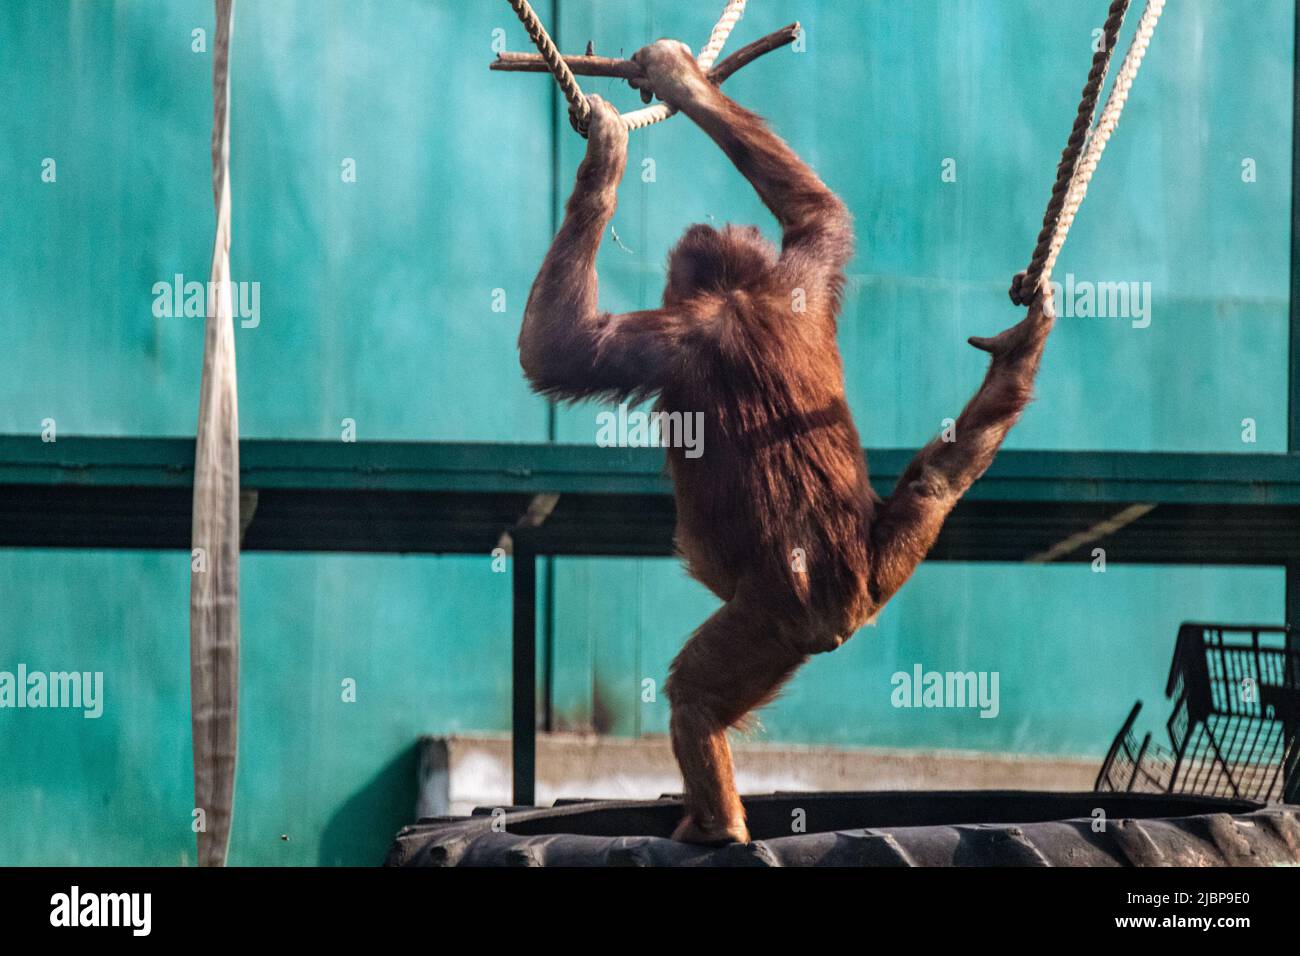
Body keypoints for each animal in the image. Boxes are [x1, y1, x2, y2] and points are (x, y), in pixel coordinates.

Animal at [518, 39, 1055, 844]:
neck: (741, 296)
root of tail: (844, 604)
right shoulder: (807, 267)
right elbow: (817, 212)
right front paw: (683, 79)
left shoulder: (658, 343)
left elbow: (555, 348)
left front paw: (609, 151)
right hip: (883, 562)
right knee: (936, 482)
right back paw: (1017, 358)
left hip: (772, 620)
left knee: (693, 697)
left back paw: (716, 830)